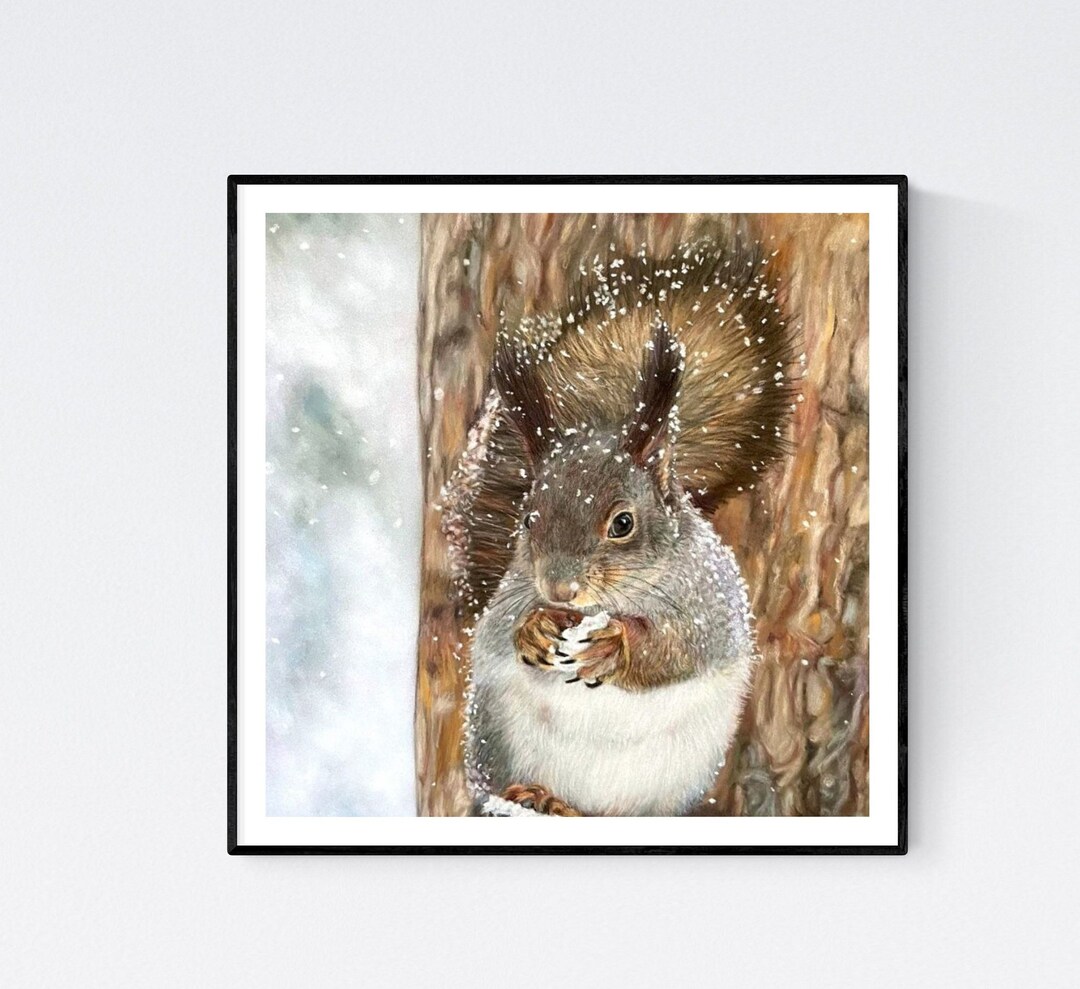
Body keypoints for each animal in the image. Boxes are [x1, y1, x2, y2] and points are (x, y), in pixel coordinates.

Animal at [443, 237, 796, 817]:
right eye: (527, 517)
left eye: (623, 523)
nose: (558, 588)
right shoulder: (506, 601)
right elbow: (500, 629)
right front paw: (534, 629)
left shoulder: (709, 602)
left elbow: (681, 650)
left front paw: (616, 646)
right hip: (497, 738)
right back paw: (537, 796)